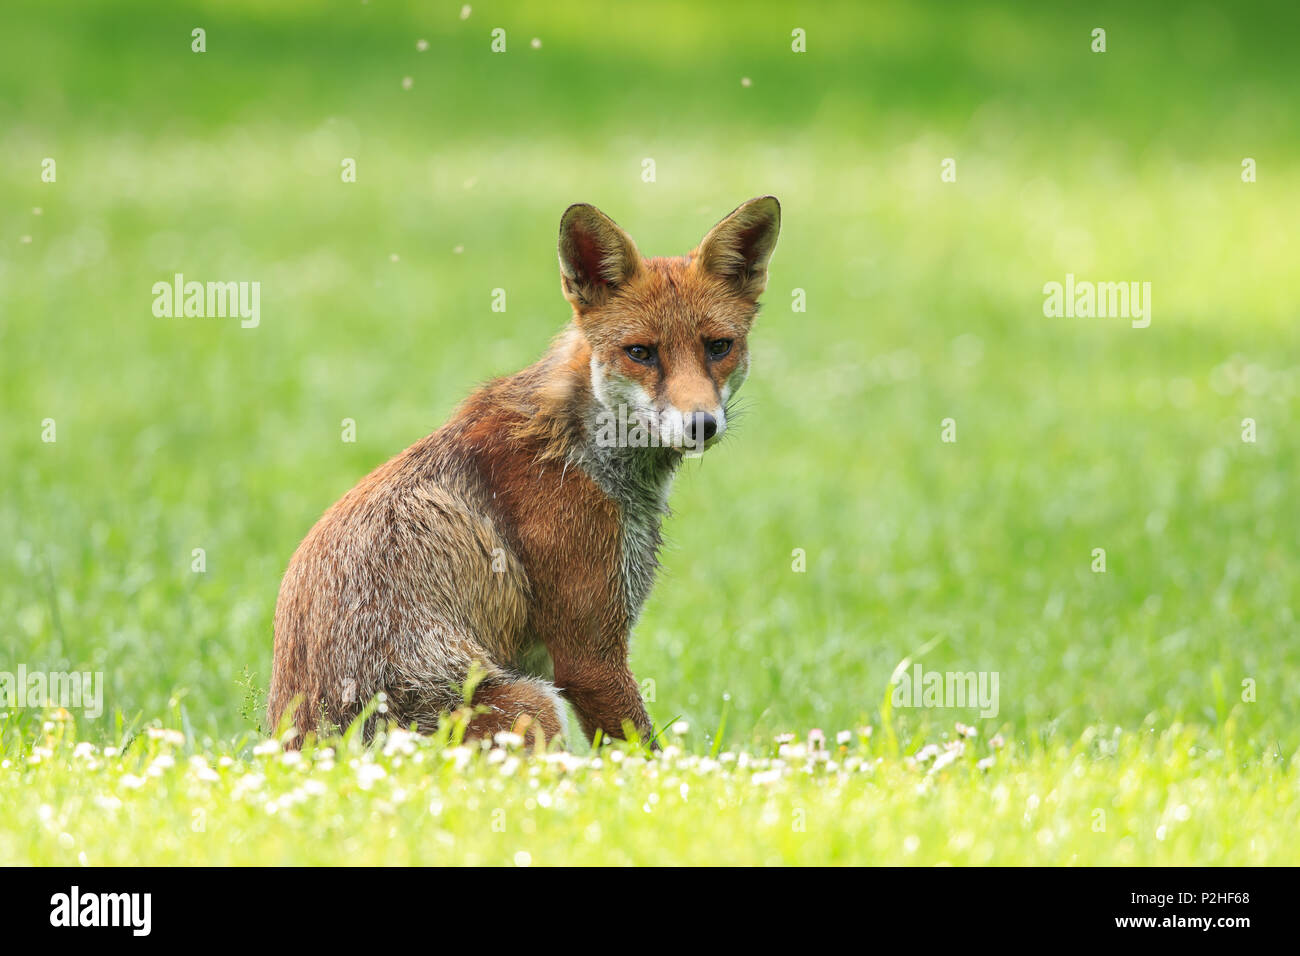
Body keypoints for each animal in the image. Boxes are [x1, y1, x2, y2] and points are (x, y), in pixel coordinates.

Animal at [267, 196, 781, 748]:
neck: (580, 444)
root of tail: (300, 748)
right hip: (534, 705)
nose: (701, 425)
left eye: (718, 346)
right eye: (641, 352)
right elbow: (643, 754)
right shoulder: (587, 658)